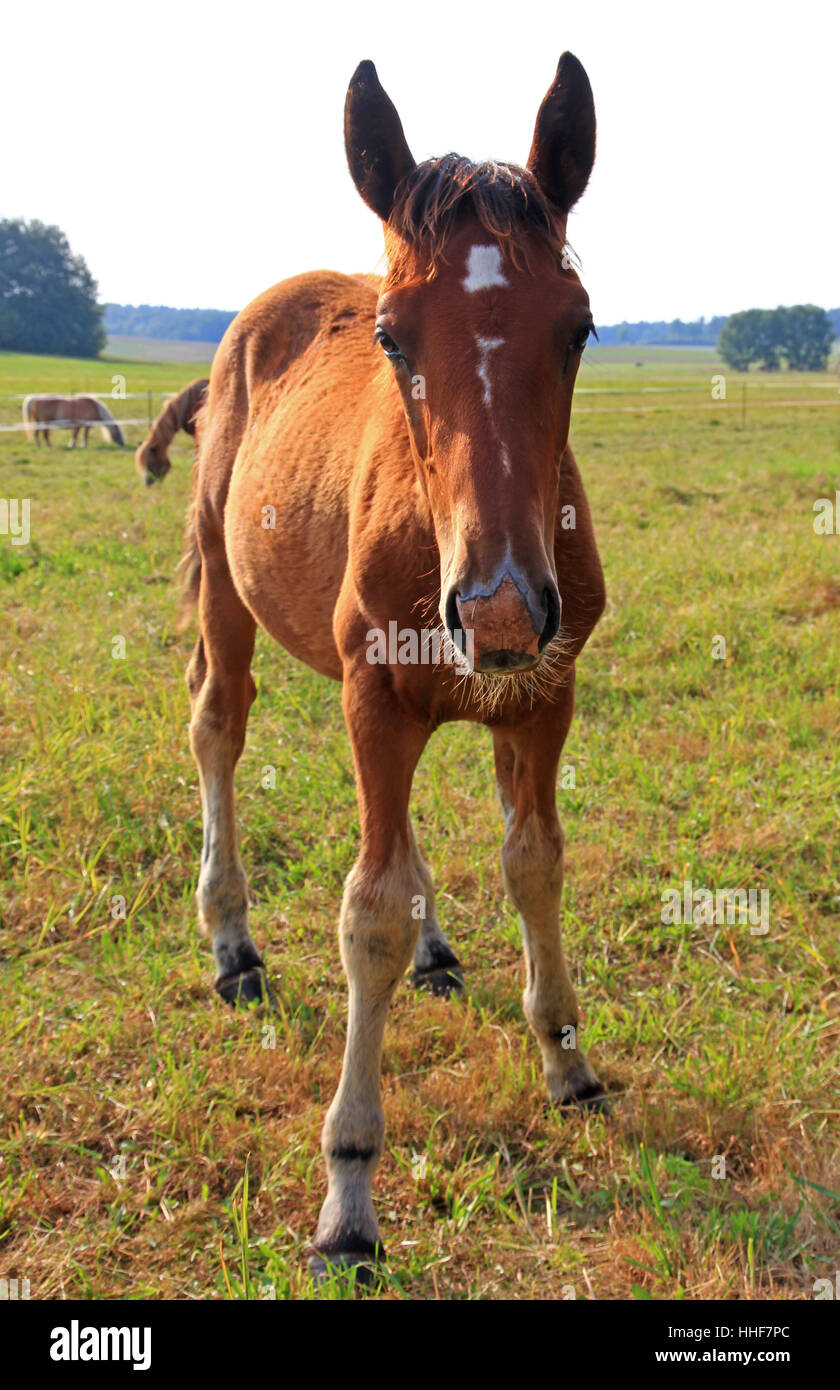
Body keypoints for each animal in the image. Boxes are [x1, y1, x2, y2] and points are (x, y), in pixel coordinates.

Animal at [181, 52, 606, 1281]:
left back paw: (437, 951)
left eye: (579, 329)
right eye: (391, 339)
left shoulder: (544, 694)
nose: (500, 603)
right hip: (226, 581)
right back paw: (232, 942)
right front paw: (349, 1192)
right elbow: (363, 913)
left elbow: (534, 861)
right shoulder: (377, 691)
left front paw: (566, 1055)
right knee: (217, 725)